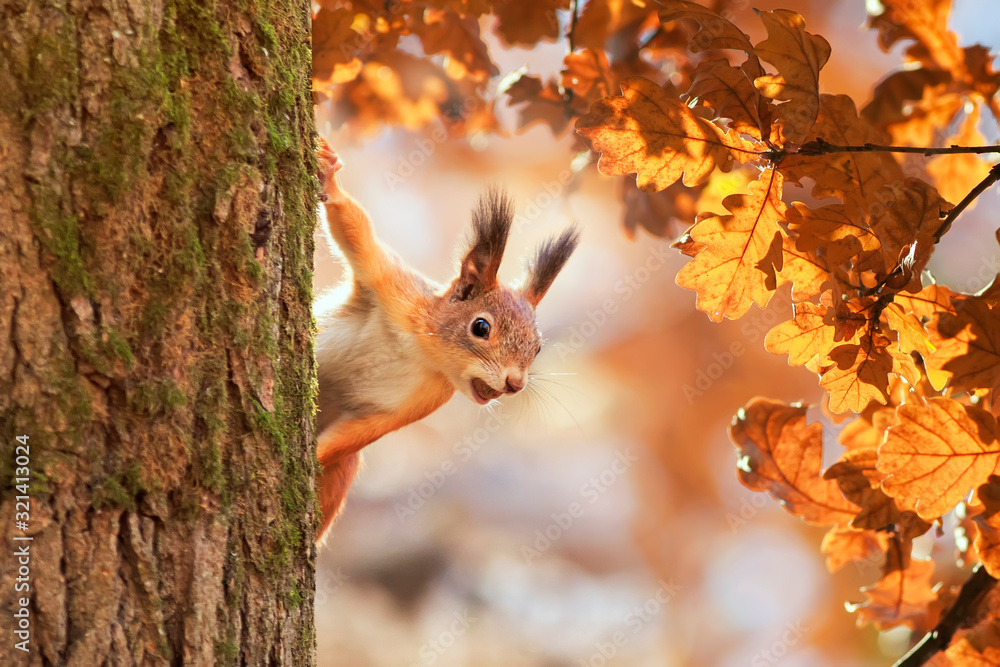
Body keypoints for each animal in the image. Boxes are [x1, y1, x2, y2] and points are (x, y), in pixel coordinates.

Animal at [313, 140, 579, 544]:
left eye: (536, 348)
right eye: (481, 327)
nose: (515, 384)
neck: (423, 352)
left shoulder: (421, 401)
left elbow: (356, 435)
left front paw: (309, 456)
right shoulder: (396, 288)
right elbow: (354, 228)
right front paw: (330, 176)